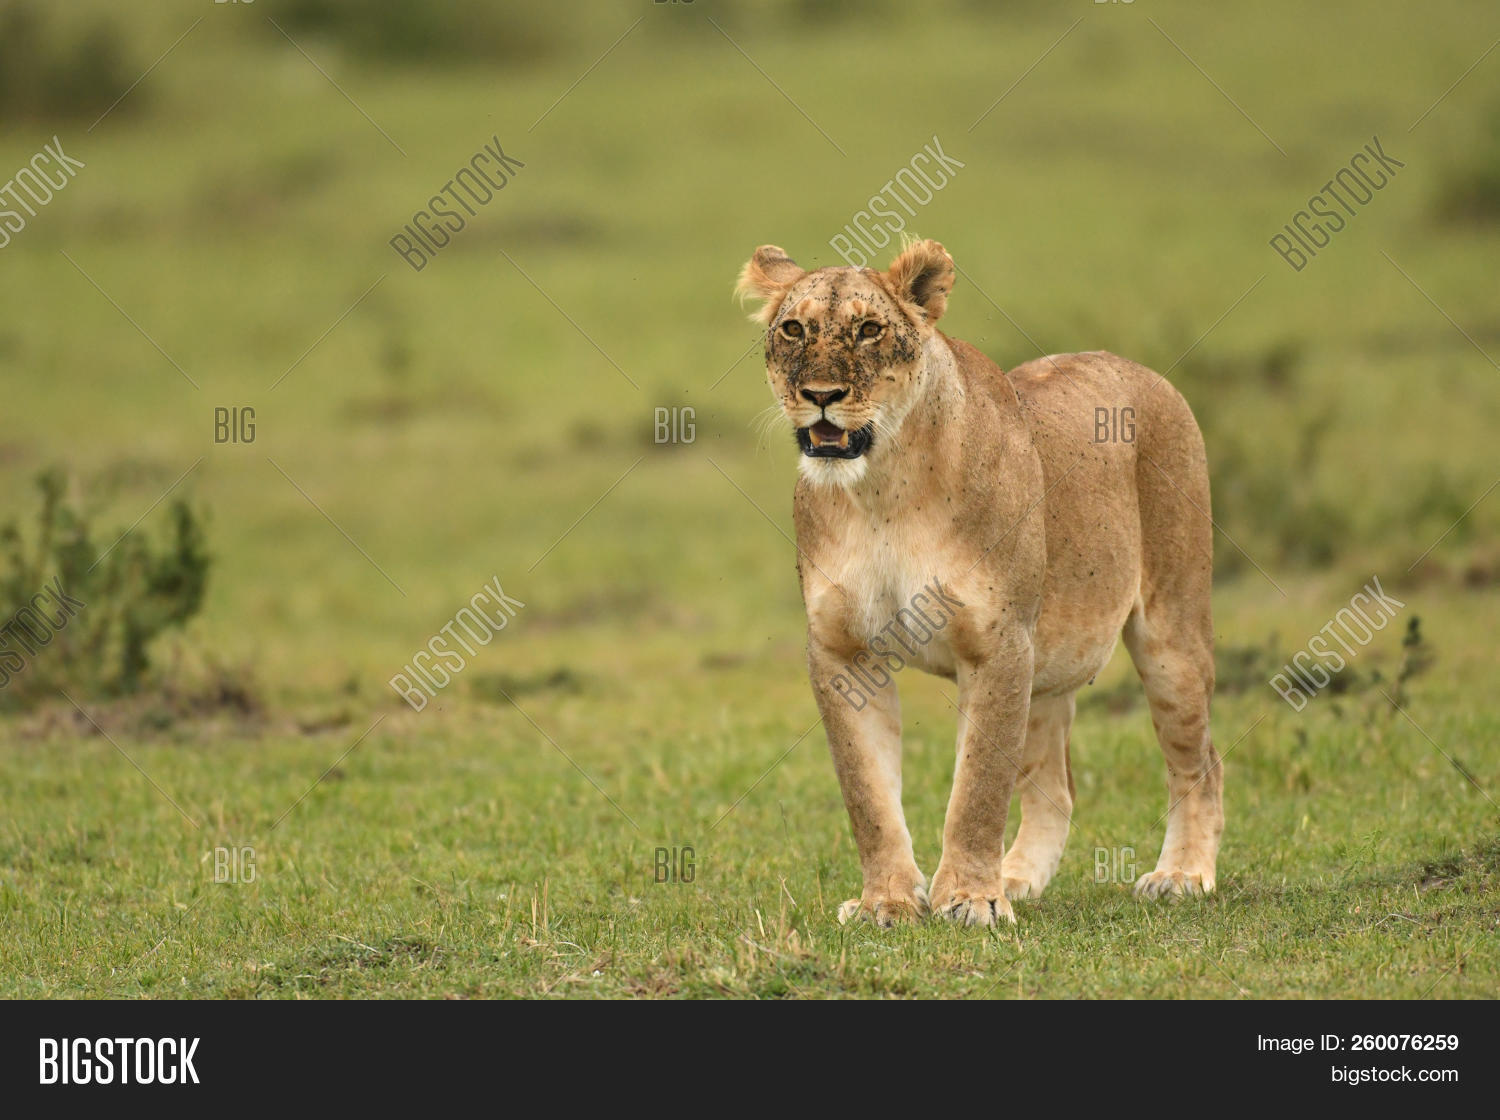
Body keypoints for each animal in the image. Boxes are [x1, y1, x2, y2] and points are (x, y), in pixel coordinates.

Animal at [734, 239, 1222, 926]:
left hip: (1170, 632)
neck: (882, 490)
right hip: (1049, 662)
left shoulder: (998, 643)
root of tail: (1138, 368)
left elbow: (979, 787)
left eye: (869, 328)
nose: (821, 394)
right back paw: (1018, 878)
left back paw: (1181, 875)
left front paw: (970, 900)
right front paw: (888, 902)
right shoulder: (841, 652)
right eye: (794, 329)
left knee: (1200, 761)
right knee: (1056, 788)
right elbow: (868, 794)